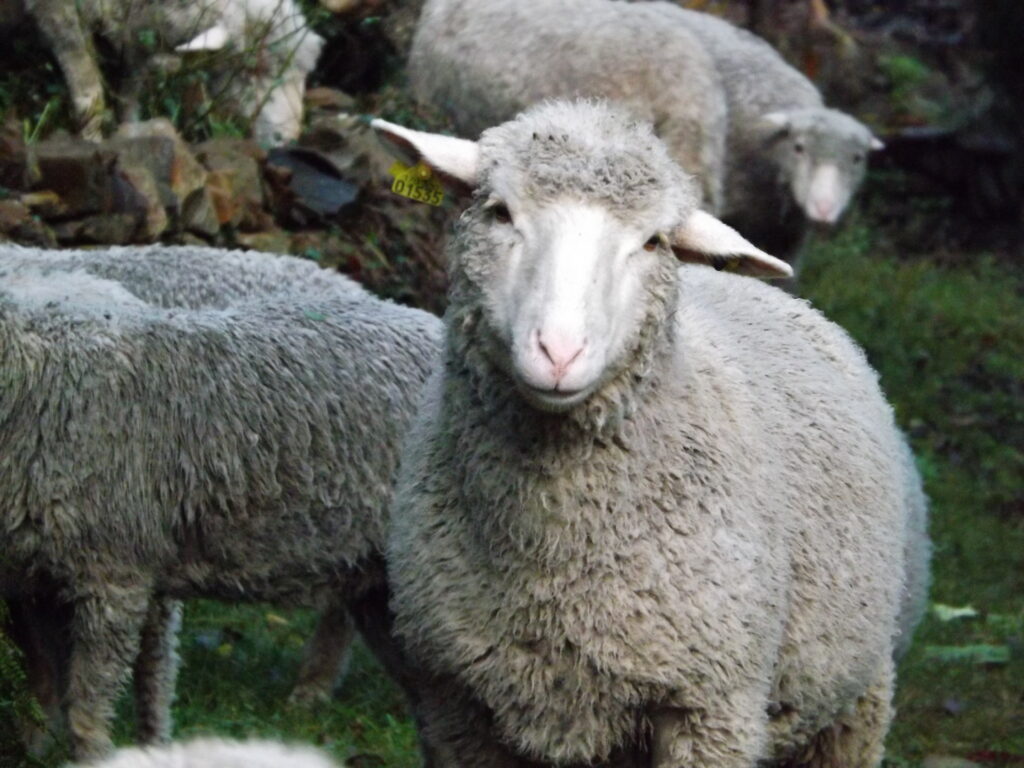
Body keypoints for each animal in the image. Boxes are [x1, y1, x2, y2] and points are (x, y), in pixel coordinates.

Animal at [0, 244, 442, 760]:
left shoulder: (112, 570)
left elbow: (90, 704)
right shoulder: (39, 578)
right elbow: (58, 683)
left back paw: (309, 690)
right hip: (377, 576)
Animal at [25, 0, 323, 143]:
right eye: (251, 70)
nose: (288, 140)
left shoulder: (135, 42)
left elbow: (130, 99)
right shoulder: (58, 13)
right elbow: (90, 97)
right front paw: (92, 144)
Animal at [371, 99, 929, 766]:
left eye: (652, 241)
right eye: (500, 211)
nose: (559, 352)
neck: (549, 556)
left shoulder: (709, 708)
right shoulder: (450, 699)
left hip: (857, 700)